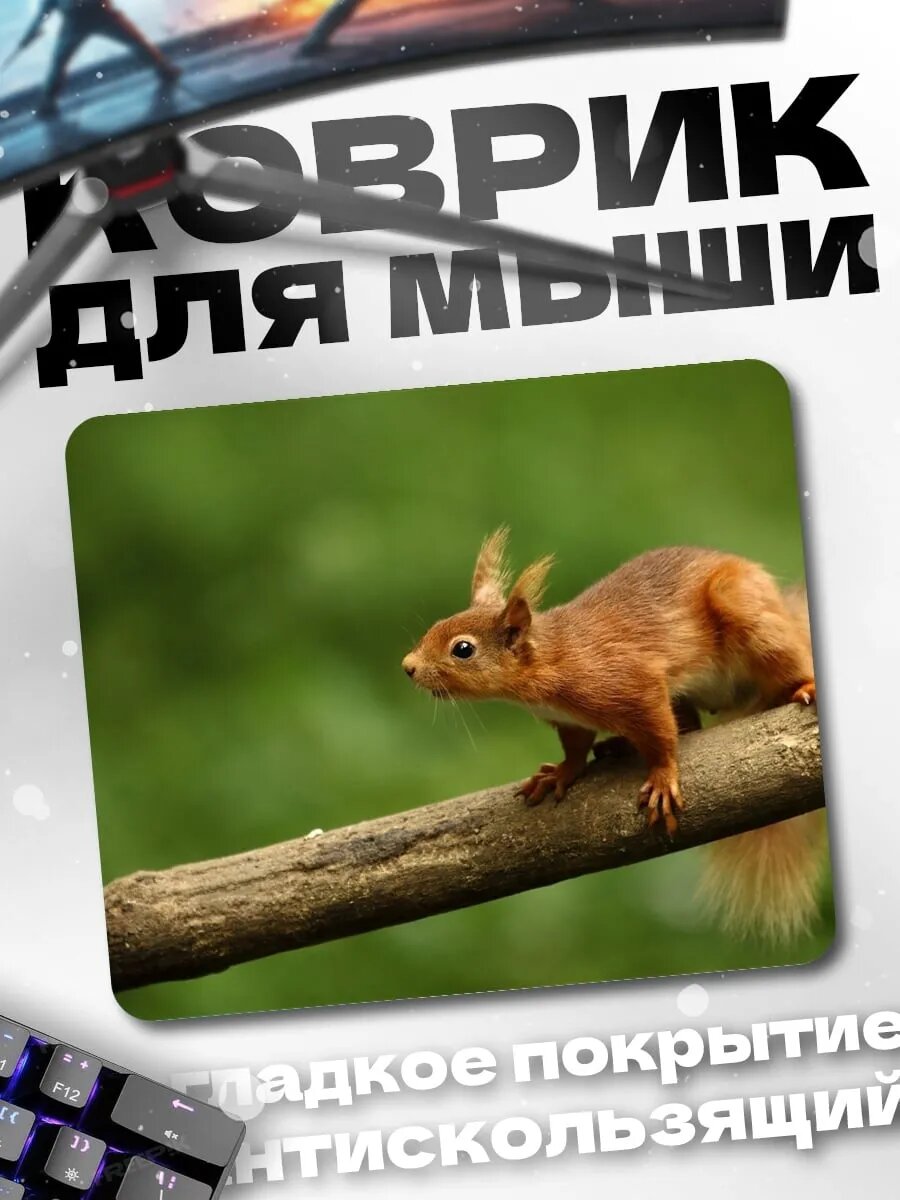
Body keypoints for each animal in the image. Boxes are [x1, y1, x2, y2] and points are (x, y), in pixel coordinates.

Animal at [402, 528, 825, 941]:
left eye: (463, 649)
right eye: (434, 627)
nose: (407, 667)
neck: (553, 660)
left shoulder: (633, 683)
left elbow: (661, 736)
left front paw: (662, 777)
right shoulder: (570, 720)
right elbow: (575, 748)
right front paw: (561, 773)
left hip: (746, 612)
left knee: (780, 665)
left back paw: (804, 687)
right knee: (689, 721)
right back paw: (619, 746)